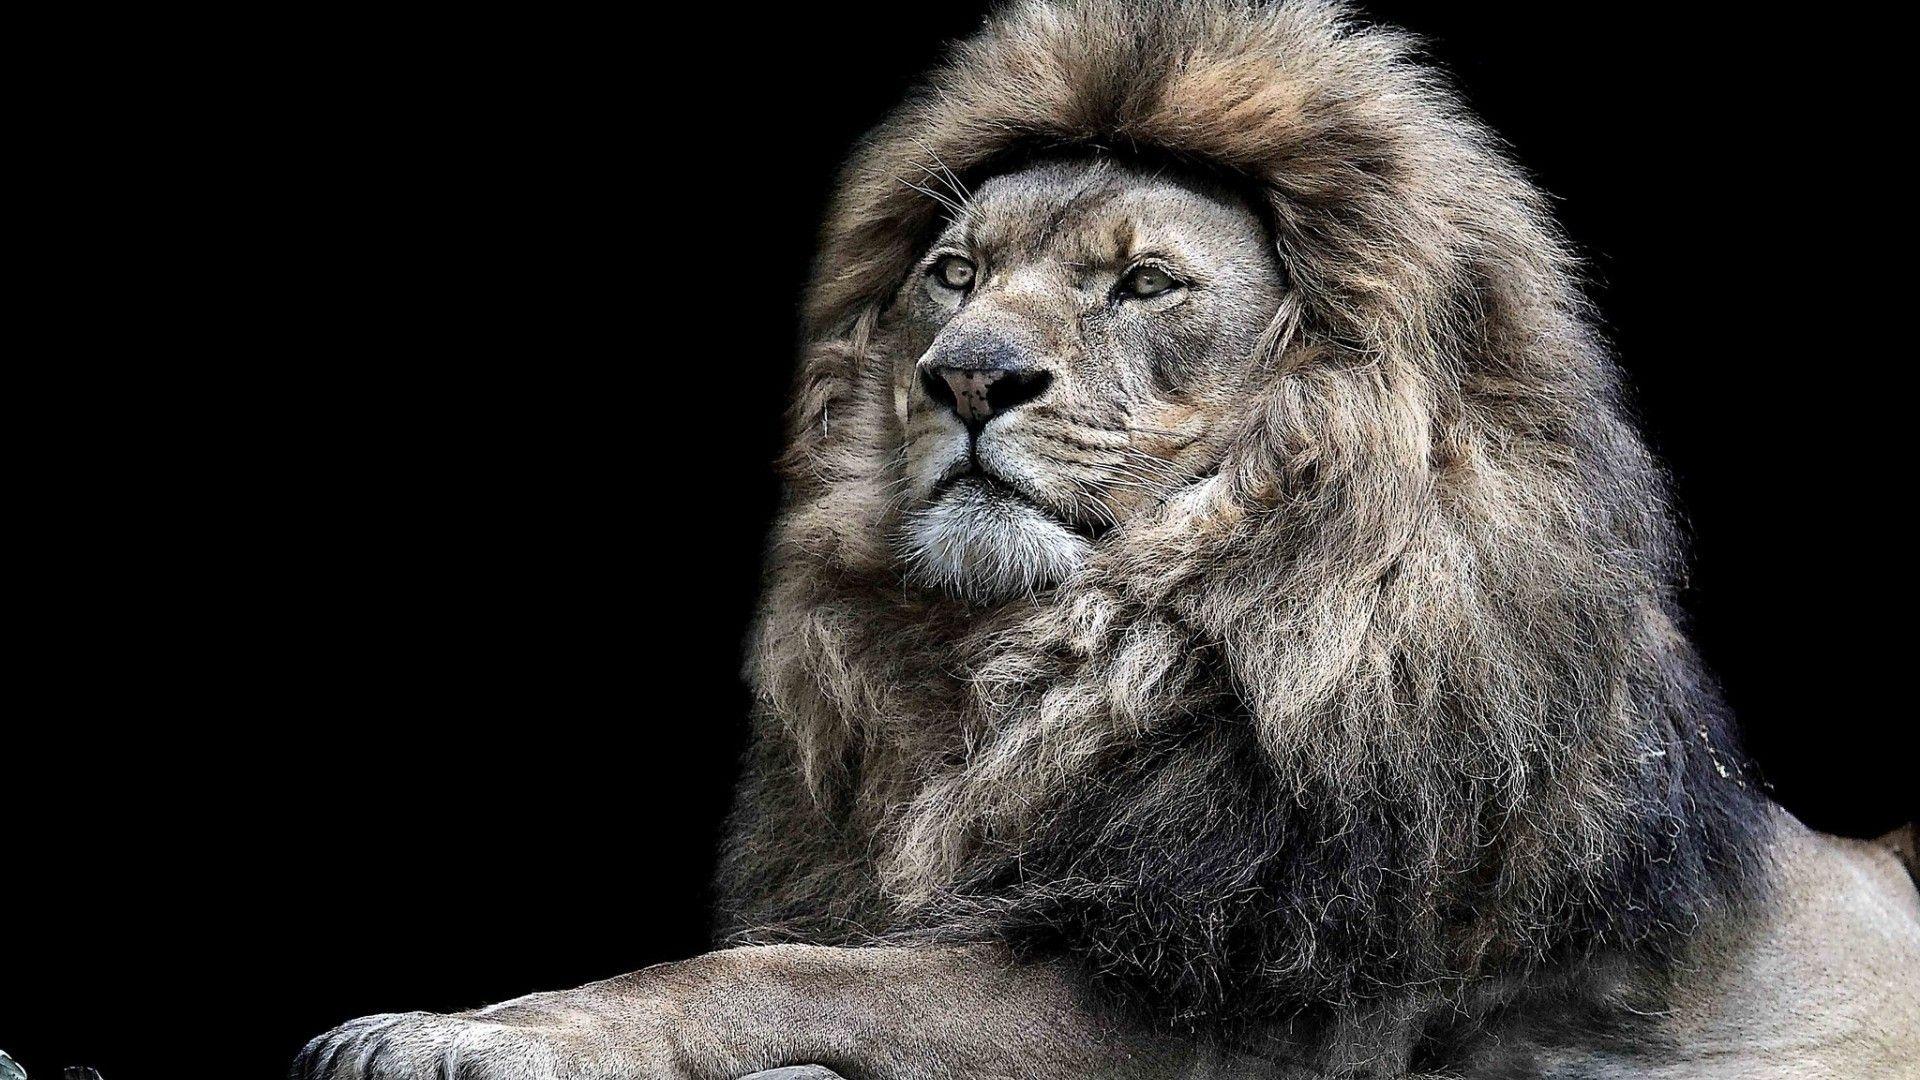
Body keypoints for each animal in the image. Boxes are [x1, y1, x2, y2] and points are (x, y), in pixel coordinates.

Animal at [297, 2, 1920, 1077]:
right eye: (956, 273)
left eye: (1144, 284)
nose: (965, 376)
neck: (1078, 654)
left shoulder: (1215, 996)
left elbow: (779, 974)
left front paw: (460, 1034)